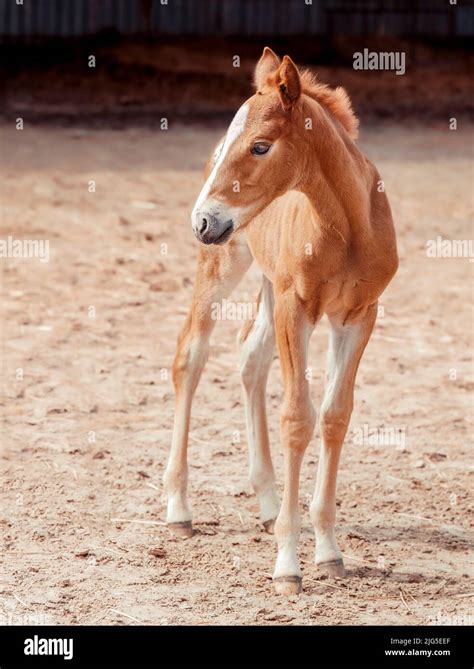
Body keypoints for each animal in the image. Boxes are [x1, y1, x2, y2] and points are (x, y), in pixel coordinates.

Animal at [163, 47, 398, 595]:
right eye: (242, 143)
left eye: (260, 146)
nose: (202, 220)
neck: (349, 226)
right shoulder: (298, 307)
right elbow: (297, 417)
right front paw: (289, 564)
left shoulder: (359, 315)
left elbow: (334, 416)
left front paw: (328, 550)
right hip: (225, 263)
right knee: (190, 353)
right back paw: (179, 508)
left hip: (269, 282)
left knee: (250, 355)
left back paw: (269, 504)